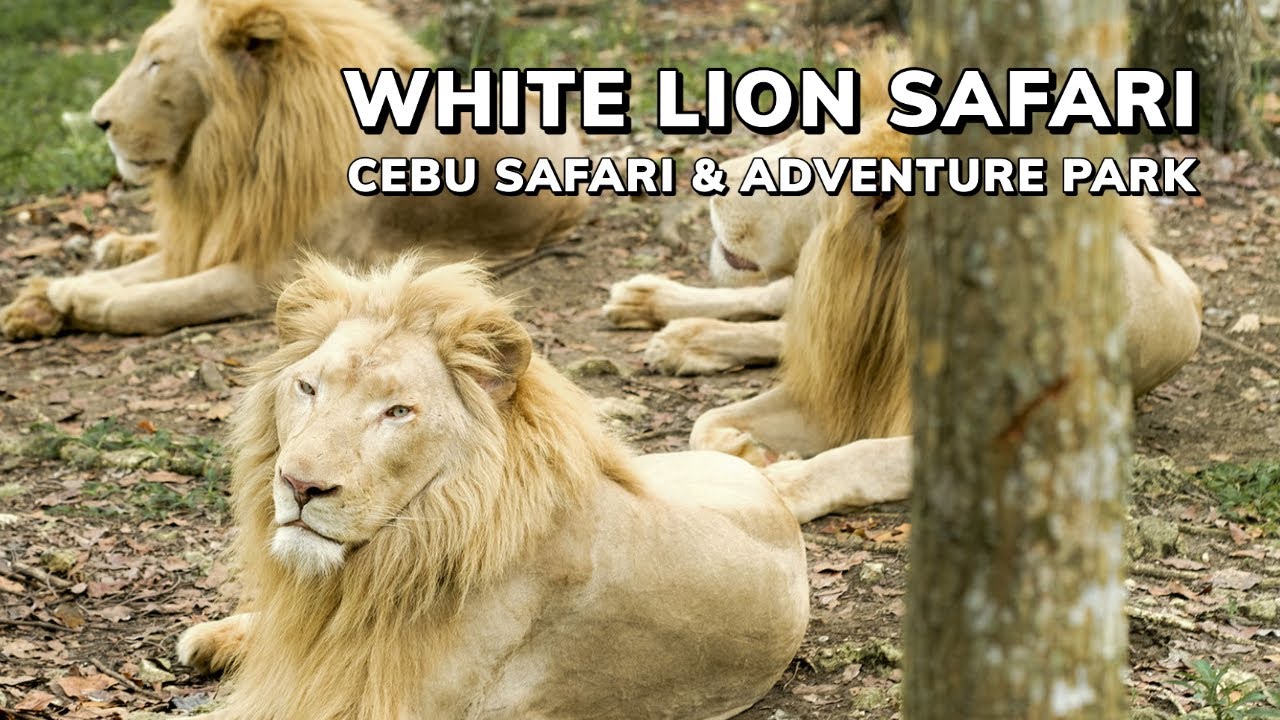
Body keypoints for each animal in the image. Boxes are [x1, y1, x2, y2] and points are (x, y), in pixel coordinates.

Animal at [1, 0, 587, 340]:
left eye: (155, 64)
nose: (98, 120)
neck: (239, 156)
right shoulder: (234, 229)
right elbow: (154, 271)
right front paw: (45, 298)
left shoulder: (277, 269)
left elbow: (160, 299)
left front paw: (74, 299)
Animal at [605, 48, 1204, 522]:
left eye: (797, 165)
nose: (707, 180)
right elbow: (708, 420)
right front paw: (745, 449)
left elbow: (862, 454)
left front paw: (781, 481)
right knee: (769, 307)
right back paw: (653, 307)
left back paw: (683, 338)